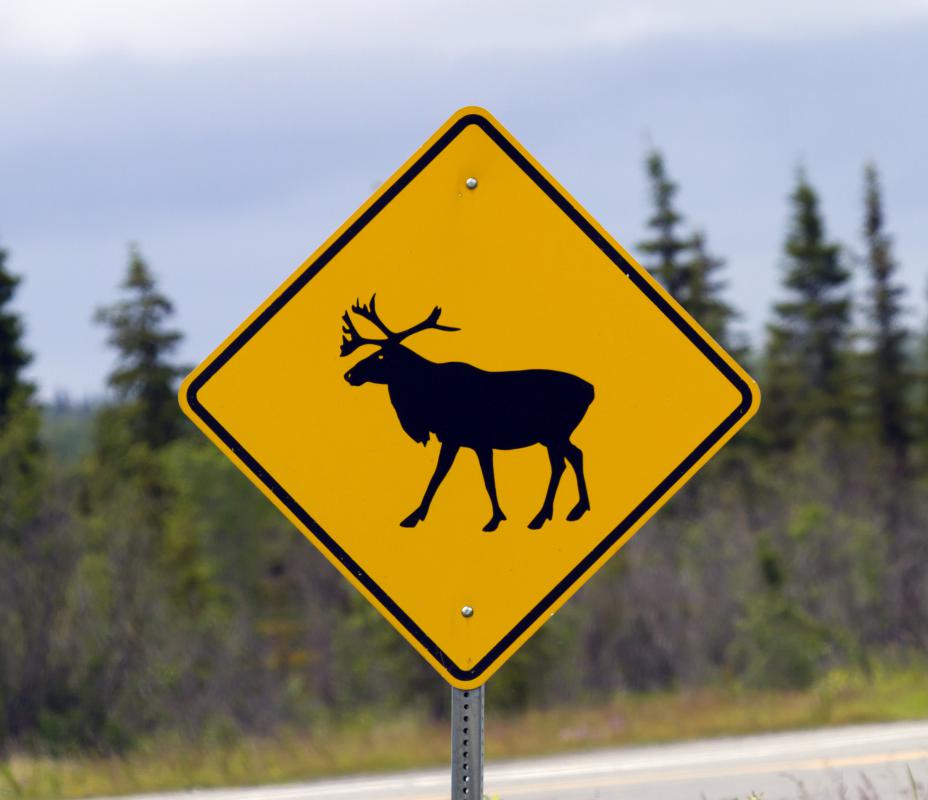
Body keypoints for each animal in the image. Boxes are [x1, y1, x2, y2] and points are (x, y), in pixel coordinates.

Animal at [341, 296, 594, 532]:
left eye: (381, 356)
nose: (350, 374)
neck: (426, 403)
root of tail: (591, 390)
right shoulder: (458, 439)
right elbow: (446, 474)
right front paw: (415, 515)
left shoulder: (473, 440)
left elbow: (473, 477)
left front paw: (494, 519)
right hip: (553, 437)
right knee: (572, 457)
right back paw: (574, 509)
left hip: (556, 433)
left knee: (563, 462)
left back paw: (544, 515)